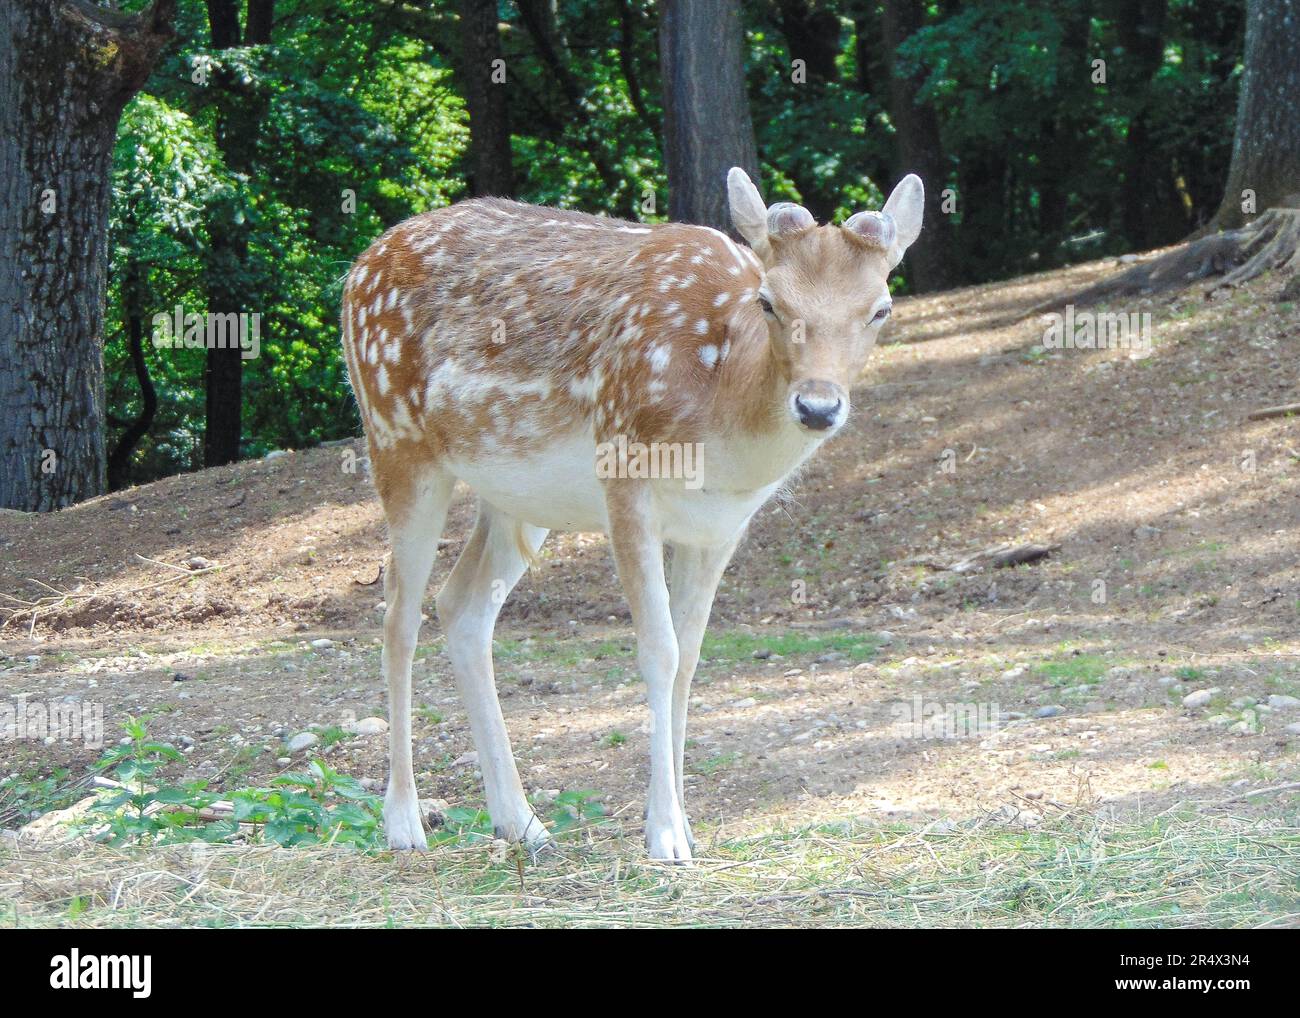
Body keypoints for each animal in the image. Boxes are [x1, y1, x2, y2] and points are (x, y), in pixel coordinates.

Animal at [341, 168, 923, 861]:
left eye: (880, 308)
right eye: (769, 301)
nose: (816, 406)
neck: (721, 427)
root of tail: (356, 268)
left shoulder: (719, 527)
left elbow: (692, 658)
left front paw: (685, 824)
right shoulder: (624, 474)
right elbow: (659, 652)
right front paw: (665, 835)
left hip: (518, 498)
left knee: (461, 605)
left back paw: (521, 822)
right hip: (395, 436)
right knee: (397, 617)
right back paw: (403, 822)